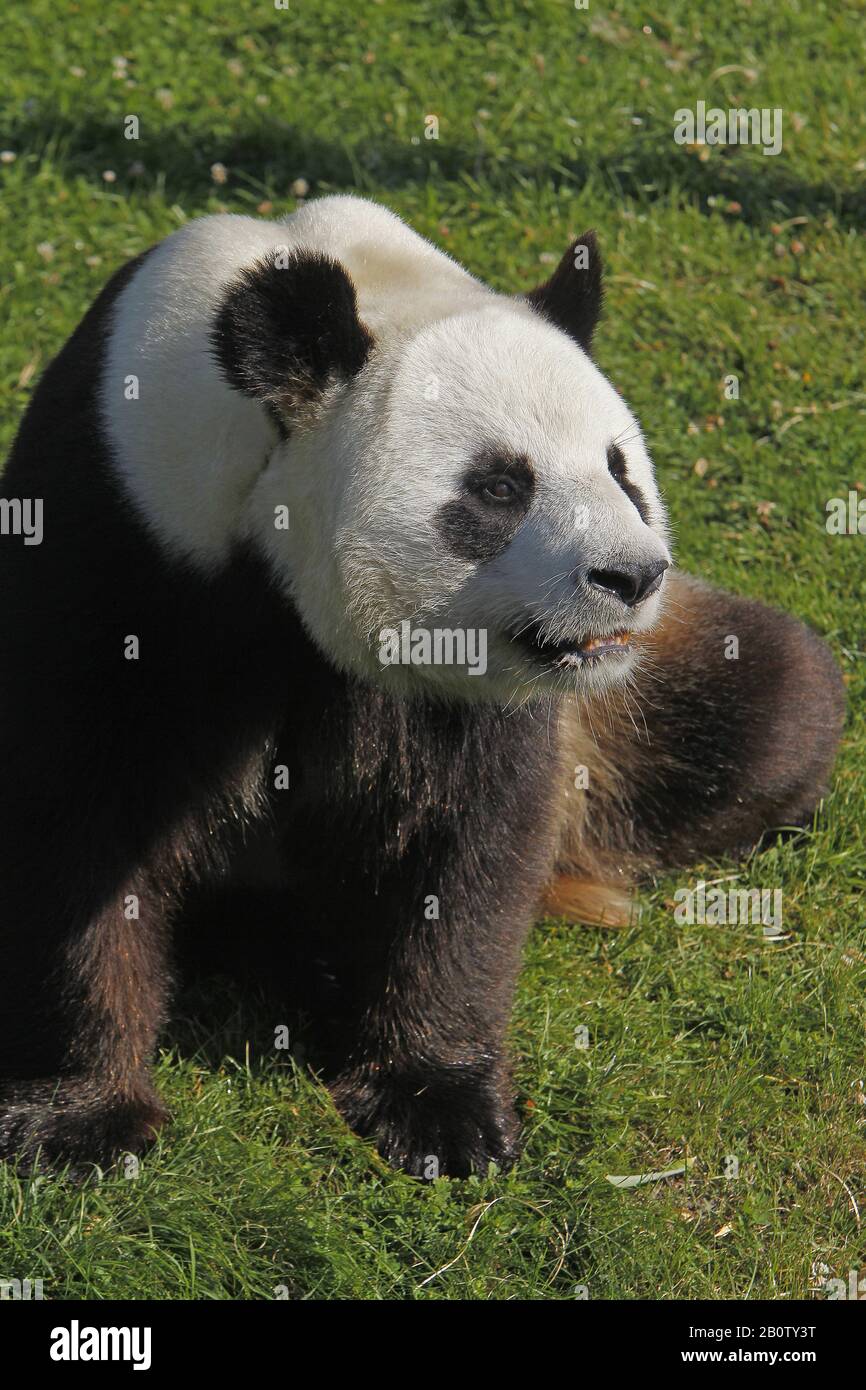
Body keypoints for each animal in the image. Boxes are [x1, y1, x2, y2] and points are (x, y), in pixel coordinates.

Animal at [0, 195, 844, 1177]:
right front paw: (80, 1122)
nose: (632, 577)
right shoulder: (121, 538)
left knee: (775, 700)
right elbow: (80, 817)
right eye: (499, 487)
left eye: (618, 468)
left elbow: (471, 835)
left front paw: (439, 1108)